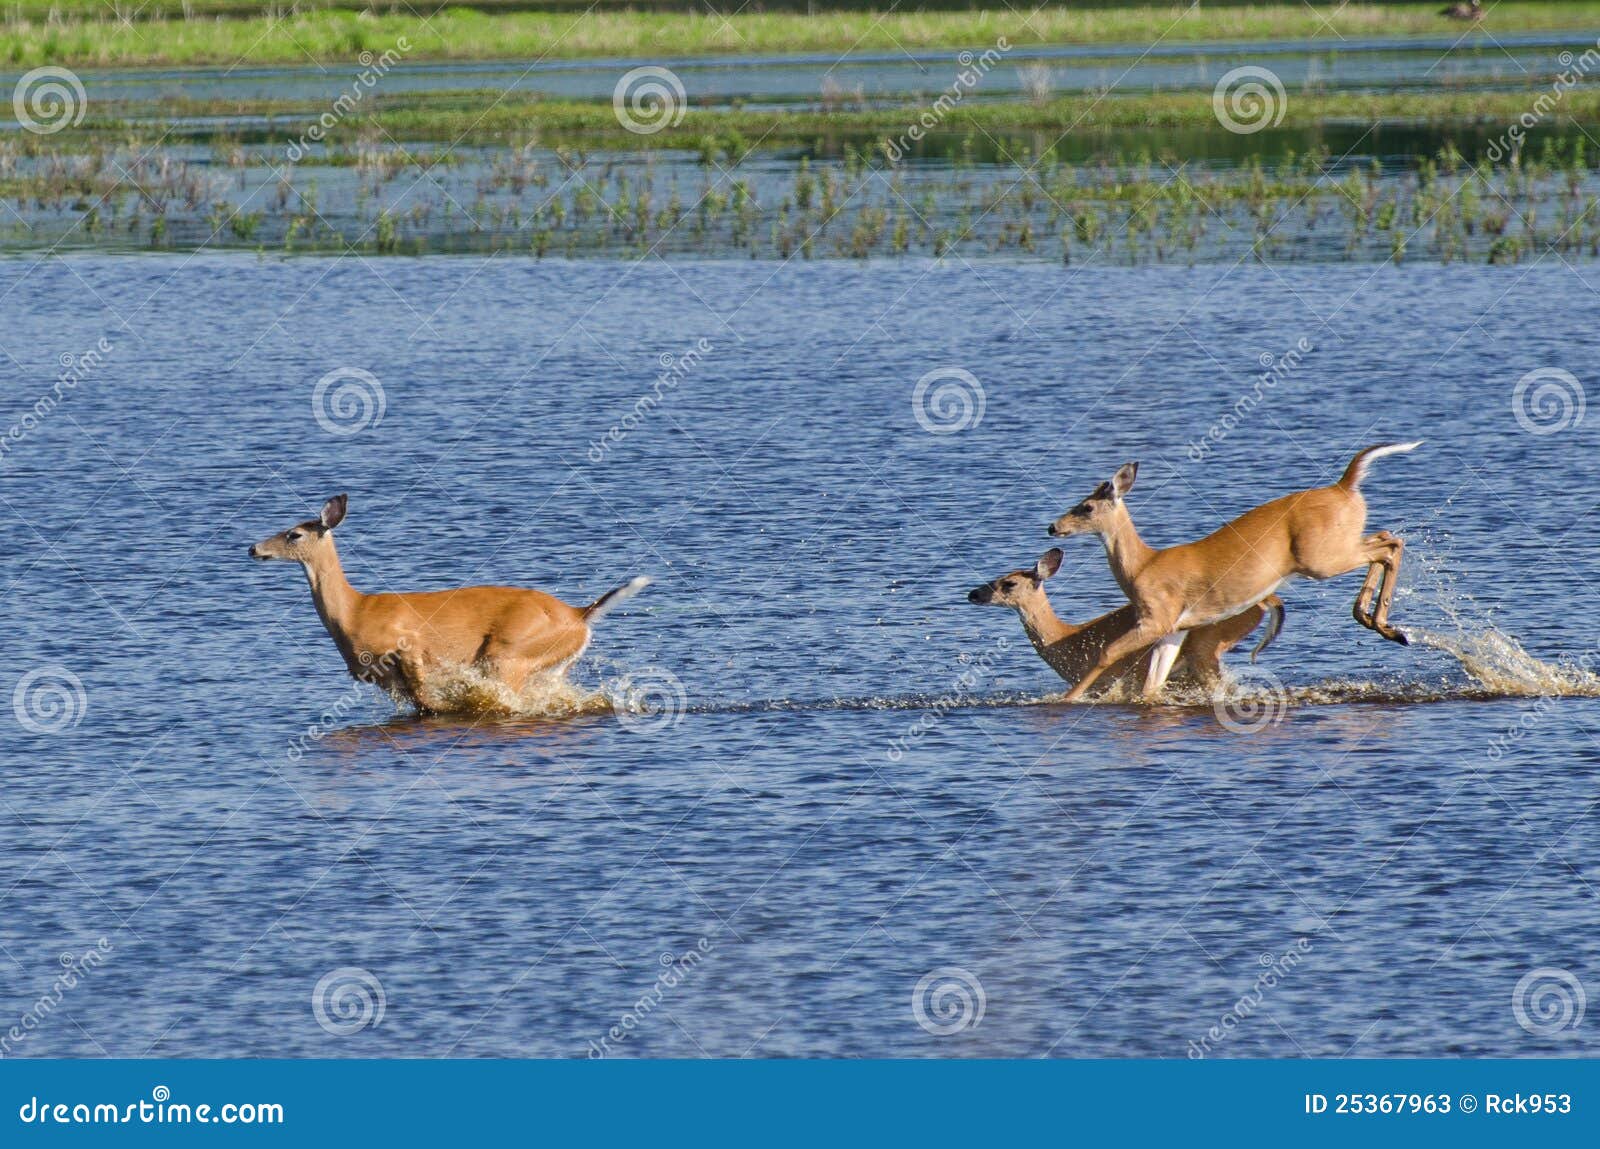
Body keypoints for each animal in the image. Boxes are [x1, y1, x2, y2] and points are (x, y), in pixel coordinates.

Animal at [248, 495, 649, 713]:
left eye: (294, 534)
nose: (253, 548)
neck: (354, 612)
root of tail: (579, 614)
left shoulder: (409, 646)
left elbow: (428, 702)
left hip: (508, 655)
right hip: (551, 665)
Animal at [968, 548, 1283, 695]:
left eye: (1008, 583)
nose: (973, 593)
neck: (1067, 641)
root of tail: (1267, 600)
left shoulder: (1108, 681)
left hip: (1204, 648)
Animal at [1046, 442, 1422, 703]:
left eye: (1087, 506)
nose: (1053, 527)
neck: (1143, 566)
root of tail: (1345, 486)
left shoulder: (1156, 619)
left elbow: (1106, 653)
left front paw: (1068, 699)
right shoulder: (1175, 628)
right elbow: (1152, 682)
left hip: (1321, 560)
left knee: (1389, 547)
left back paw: (1384, 625)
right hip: (1337, 548)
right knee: (1388, 538)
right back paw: (1384, 626)